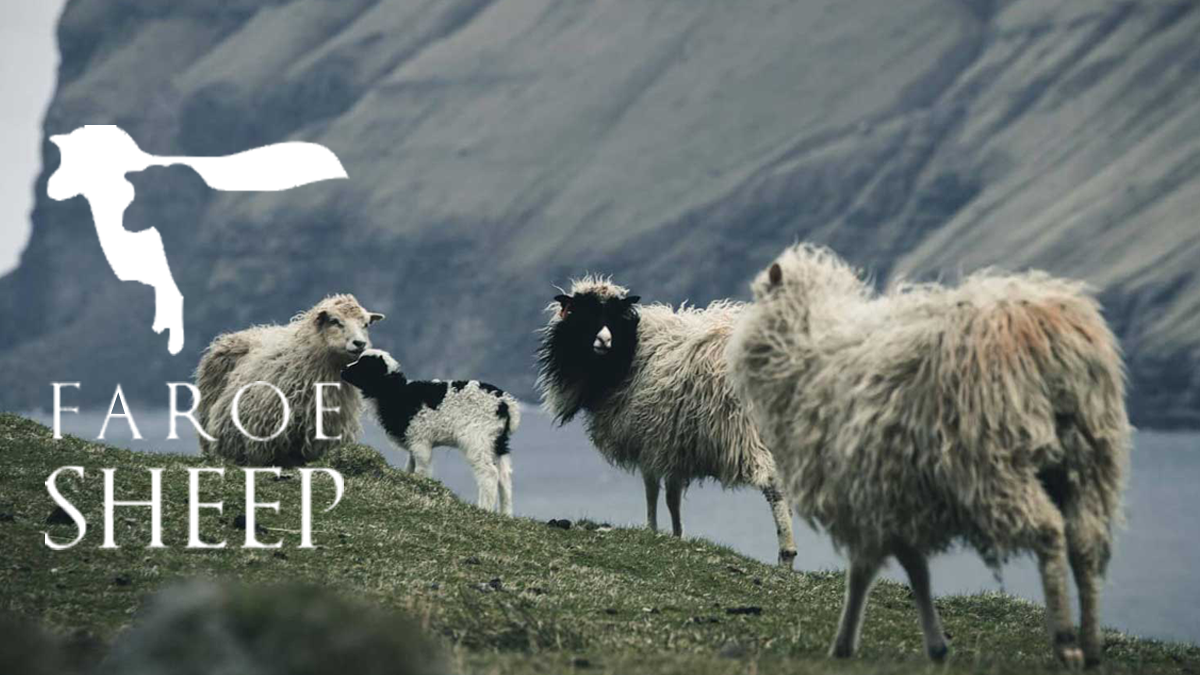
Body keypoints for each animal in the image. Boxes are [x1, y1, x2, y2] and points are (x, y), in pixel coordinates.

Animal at [341, 349, 519, 515]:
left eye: (364, 364)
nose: (343, 369)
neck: (397, 394)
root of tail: (505, 404)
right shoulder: (413, 441)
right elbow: (410, 467)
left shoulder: (421, 442)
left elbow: (421, 469)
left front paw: (420, 485)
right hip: (498, 443)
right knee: (504, 477)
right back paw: (505, 514)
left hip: (477, 439)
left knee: (489, 473)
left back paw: (484, 508)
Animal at [536, 275, 798, 568]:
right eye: (586, 312)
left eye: (614, 314)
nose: (604, 340)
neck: (632, 351)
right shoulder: (675, 443)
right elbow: (673, 497)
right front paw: (677, 534)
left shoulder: (649, 436)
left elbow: (652, 489)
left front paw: (652, 529)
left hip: (746, 431)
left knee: (774, 486)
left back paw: (787, 553)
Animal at [726, 244, 1132, 668]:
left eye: (759, 295)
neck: (806, 344)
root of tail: (1050, 333)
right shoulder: (895, 497)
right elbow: (916, 571)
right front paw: (935, 645)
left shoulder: (863, 493)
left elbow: (864, 571)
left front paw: (844, 643)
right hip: (1089, 460)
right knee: (1085, 545)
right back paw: (1092, 645)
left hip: (996, 465)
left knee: (1050, 532)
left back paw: (1066, 641)